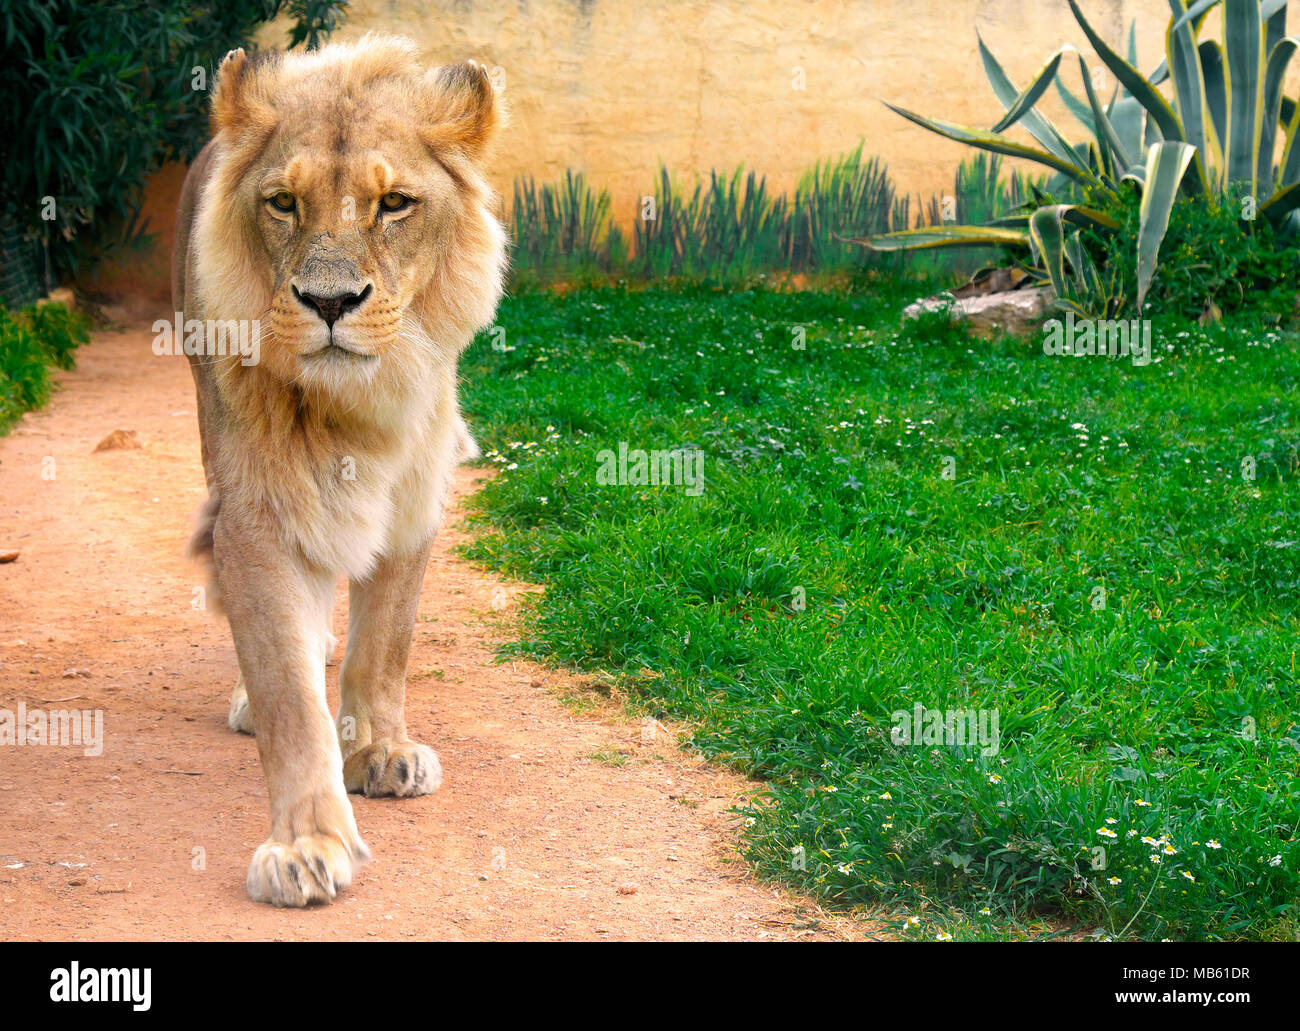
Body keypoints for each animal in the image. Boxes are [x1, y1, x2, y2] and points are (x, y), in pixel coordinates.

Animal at [170, 34, 506, 907]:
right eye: (284, 202)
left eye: (394, 205)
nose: (328, 302)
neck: (354, 408)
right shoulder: (255, 516)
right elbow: (290, 698)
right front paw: (305, 843)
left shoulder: (413, 504)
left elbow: (385, 646)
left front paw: (381, 750)